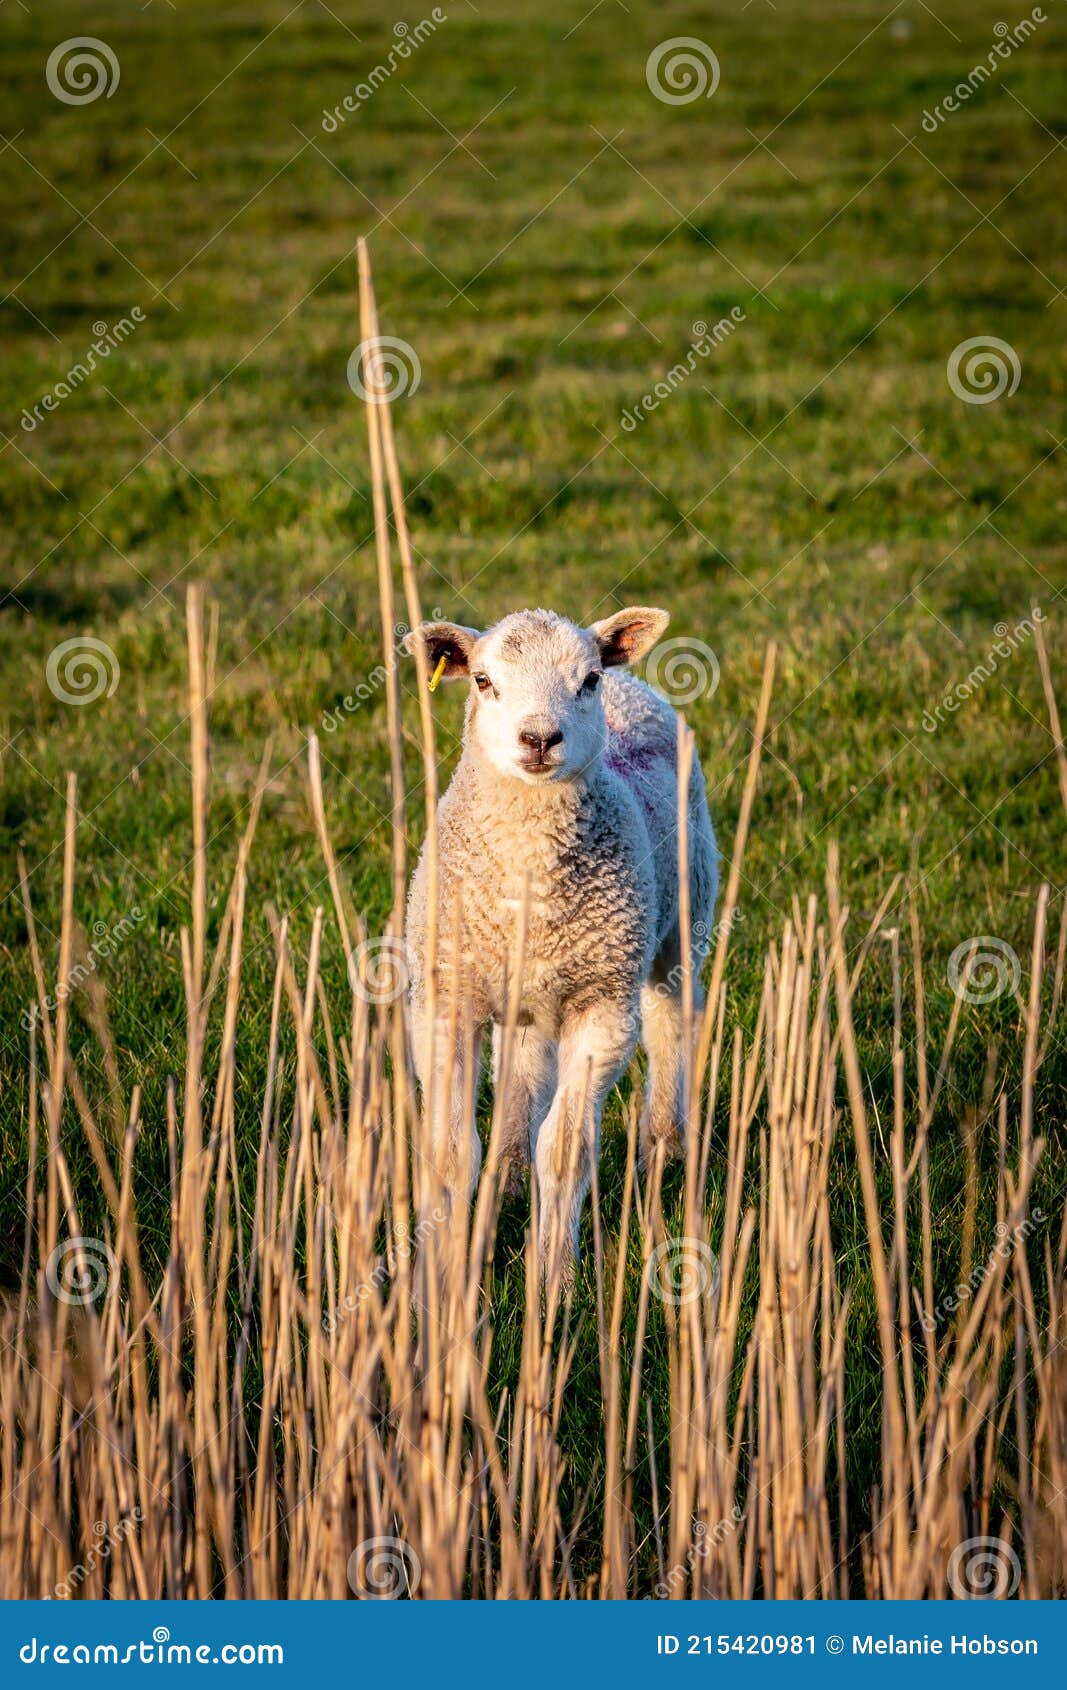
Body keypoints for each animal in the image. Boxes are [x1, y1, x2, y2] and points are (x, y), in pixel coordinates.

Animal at [403, 605, 718, 1277]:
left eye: (586, 680)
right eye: (483, 681)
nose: (540, 739)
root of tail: (634, 684)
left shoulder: (601, 1011)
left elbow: (567, 1147)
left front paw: (554, 1278)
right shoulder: (446, 1001)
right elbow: (450, 1154)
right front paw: (441, 1277)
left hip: (679, 924)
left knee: (674, 1023)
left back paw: (665, 1148)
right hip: (529, 992)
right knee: (522, 1073)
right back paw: (511, 1175)